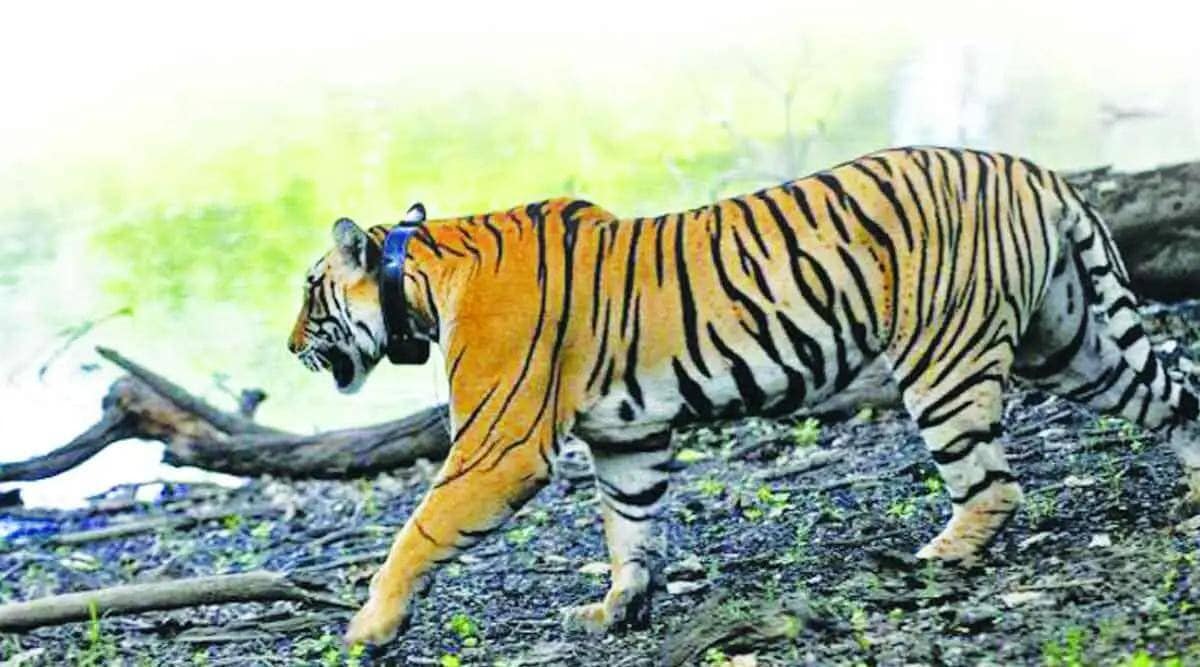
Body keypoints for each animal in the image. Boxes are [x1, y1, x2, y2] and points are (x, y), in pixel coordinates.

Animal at [287, 146, 1200, 646]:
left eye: (307, 291)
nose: (292, 347)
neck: (421, 276)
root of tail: (1028, 165)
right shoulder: (628, 436)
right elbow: (631, 527)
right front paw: (616, 609)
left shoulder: (498, 444)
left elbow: (418, 529)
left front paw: (369, 626)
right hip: (1068, 340)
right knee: (1173, 391)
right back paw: (1192, 486)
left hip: (946, 358)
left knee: (995, 485)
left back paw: (940, 555)